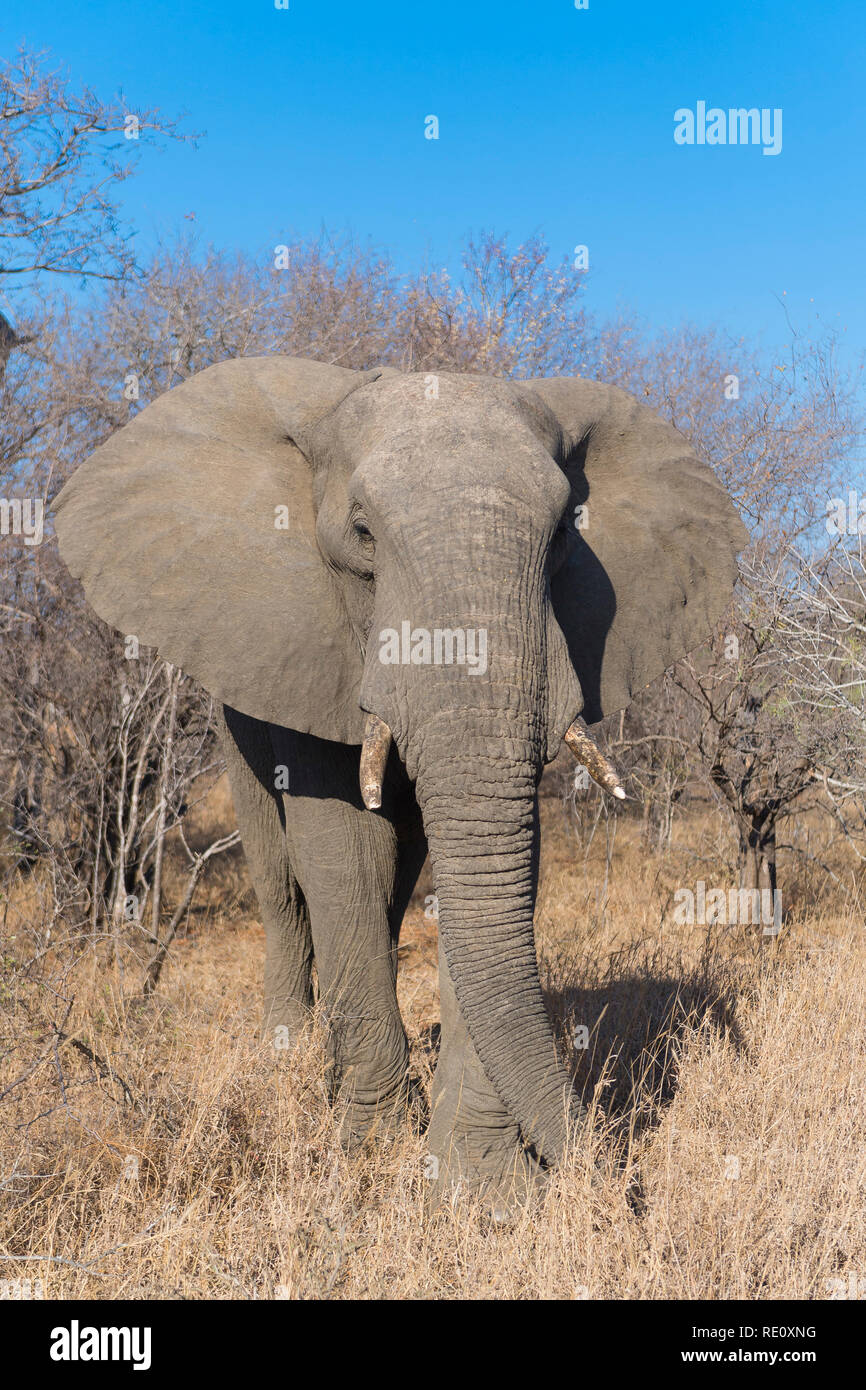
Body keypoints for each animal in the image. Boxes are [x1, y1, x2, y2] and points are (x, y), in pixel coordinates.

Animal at [53, 356, 747, 1204]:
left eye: (561, 537)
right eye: (362, 534)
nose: (621, 1186)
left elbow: (498, 858)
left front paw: (483, 1189)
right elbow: (342, 852)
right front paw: (373, 1149)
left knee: (397, 875)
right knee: (283, 881)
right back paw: (291, 1058)